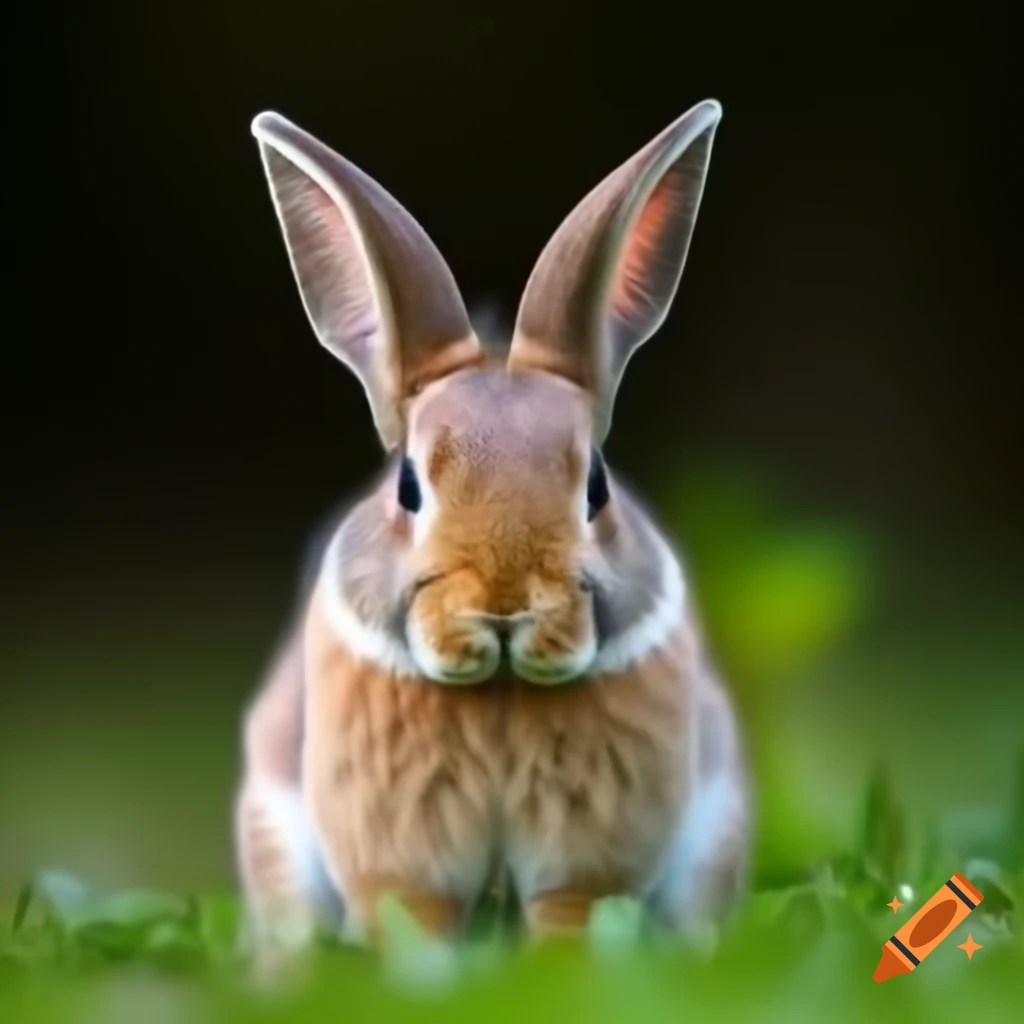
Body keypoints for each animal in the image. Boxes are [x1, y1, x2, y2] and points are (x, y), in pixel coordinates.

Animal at [234, 99, 751, 957]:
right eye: (408, 487)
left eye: (596, 487)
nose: (504, 605)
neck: (503, 689)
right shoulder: (395, 840)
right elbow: (412, 910)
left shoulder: (590, 848)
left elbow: (573, 906)